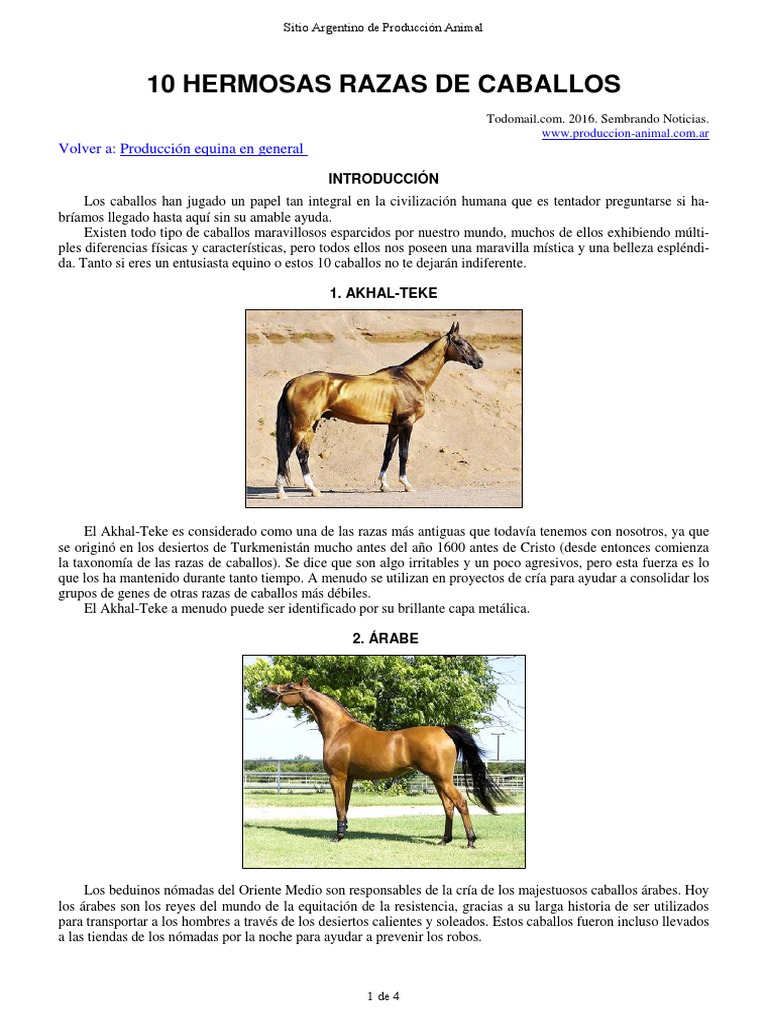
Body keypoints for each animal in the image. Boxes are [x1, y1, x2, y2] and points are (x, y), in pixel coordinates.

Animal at [261, 677, 506, 847]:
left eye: (290, 686)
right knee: (448, 807)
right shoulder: (349, 779)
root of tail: (443, 729)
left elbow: (339, 807)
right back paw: (444, 840)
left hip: (443, 779)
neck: (339, 730)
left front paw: (337, 837)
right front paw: (344, 832)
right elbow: (345, 807)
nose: (266, 689)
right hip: (438, 781)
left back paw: (470, 841)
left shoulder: (337, 777)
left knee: (461, 803)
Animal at [274, 322, 483, 498]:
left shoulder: (394, 426)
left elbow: (388, 453)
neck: (411, 378)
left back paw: (314, 490)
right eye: (460, 342)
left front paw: (384, 485)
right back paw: (281, 491)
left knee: (302, 453)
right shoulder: (407, 423)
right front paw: (406, 484)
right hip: (301, 425)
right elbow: (403, 454)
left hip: (312, 424)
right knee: (286, 453)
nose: (480, 362)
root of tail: (293, 382)